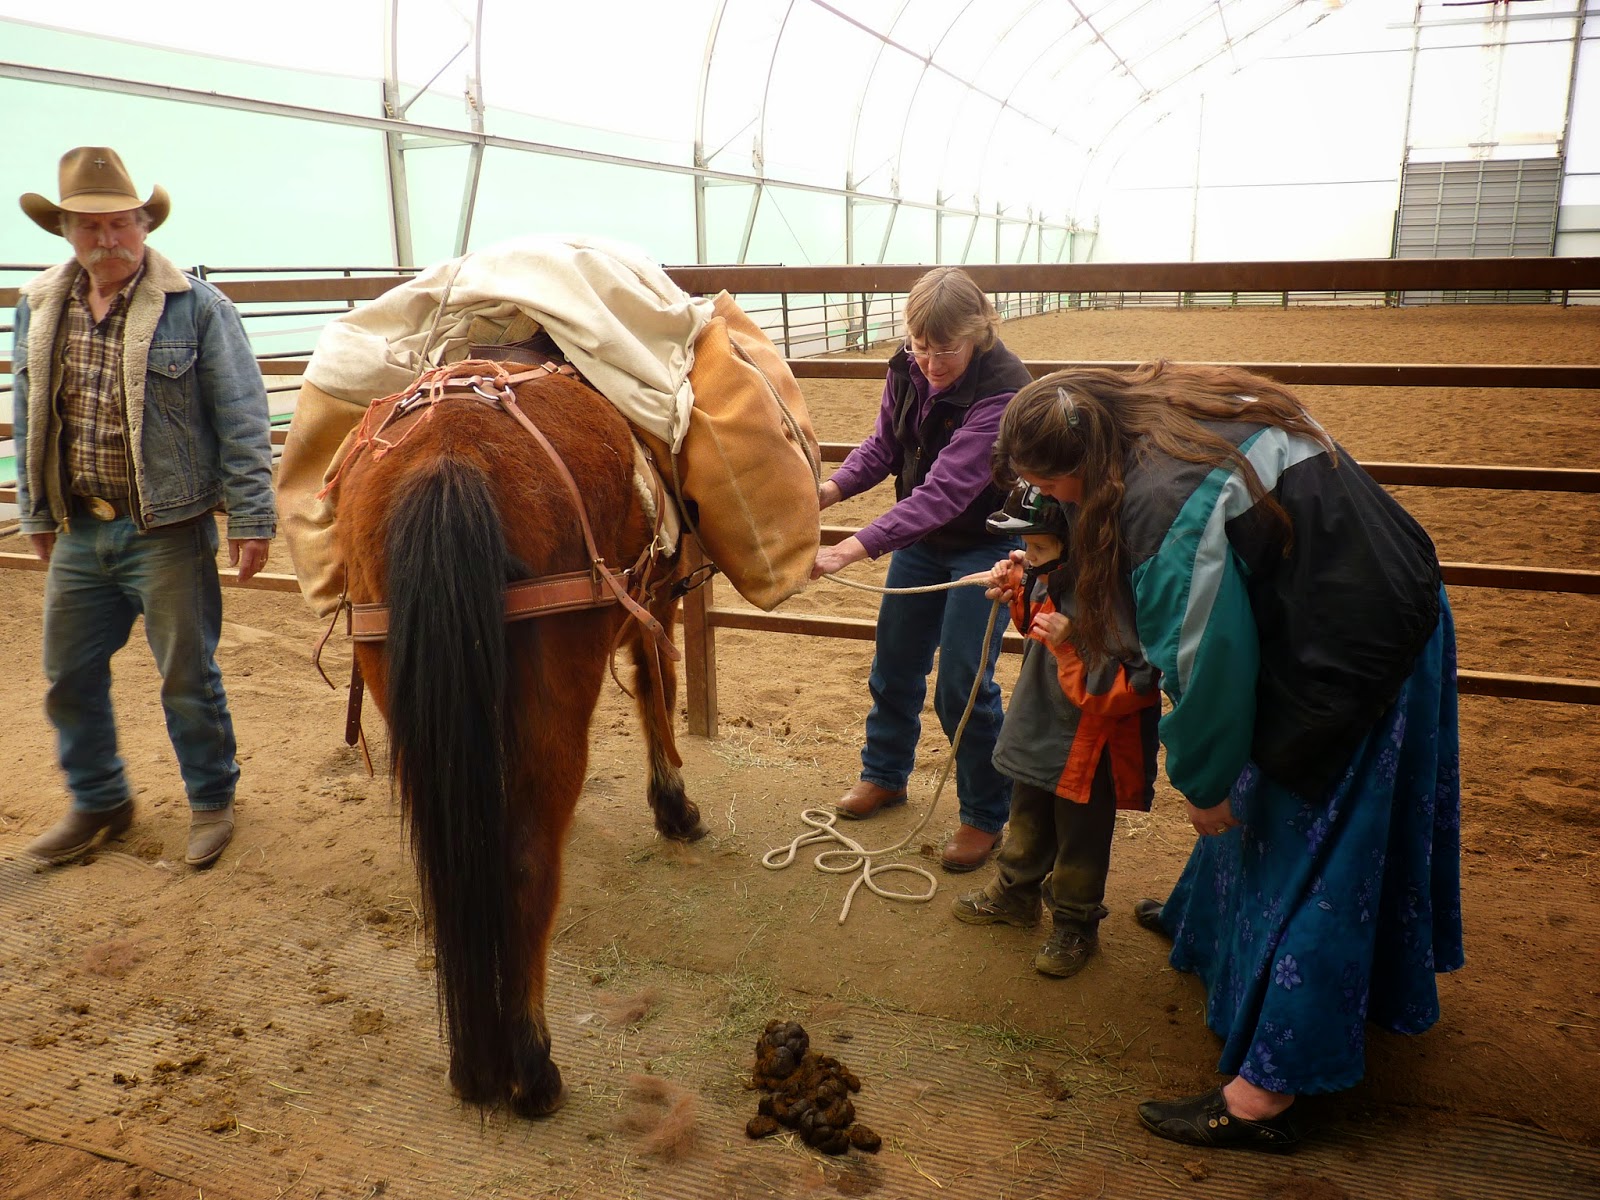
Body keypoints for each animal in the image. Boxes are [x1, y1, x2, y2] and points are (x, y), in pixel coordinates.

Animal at [333, 363, 707, 1117]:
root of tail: (450, 457)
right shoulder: (655, 601)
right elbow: (657, 685)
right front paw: (674, 805)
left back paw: (473, 1066)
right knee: (530, 862)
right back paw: (531, 1066)